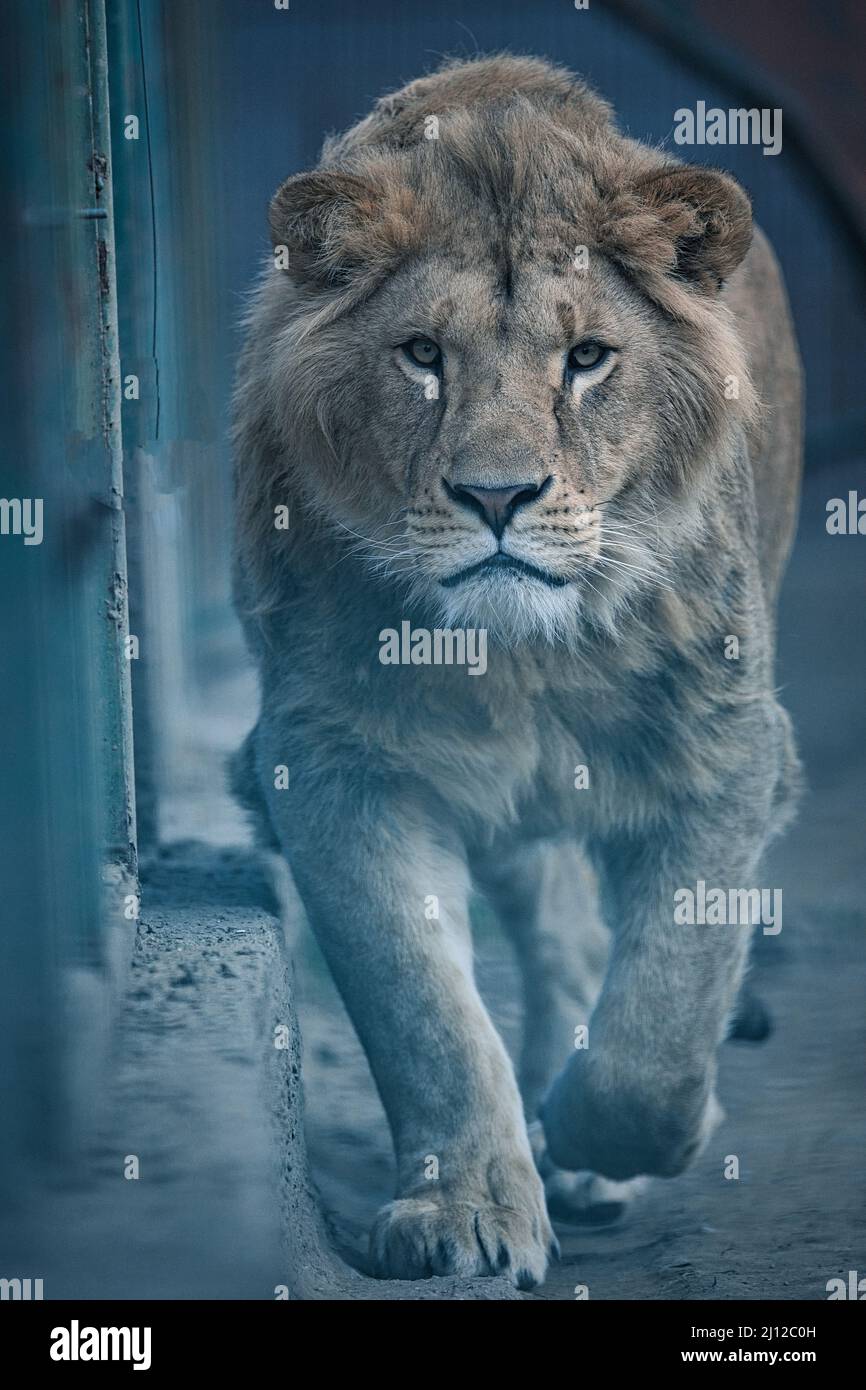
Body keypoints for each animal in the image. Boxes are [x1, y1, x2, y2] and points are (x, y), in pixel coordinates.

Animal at [230, 55, 803, 1290]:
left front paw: (610, 1133)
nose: (497, 496)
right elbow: (422, 1013)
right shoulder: (333, 763)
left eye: (586, 359)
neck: (516, 657)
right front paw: (465, 1209)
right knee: (556, 932)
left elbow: (663, 1016)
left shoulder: (726, 749)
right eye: (421, 355)